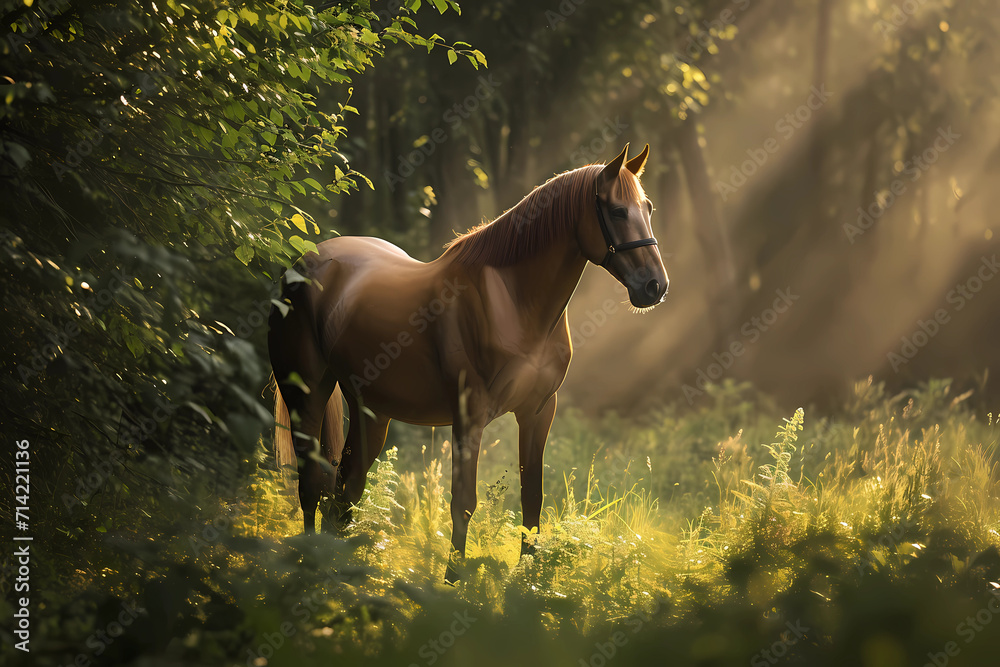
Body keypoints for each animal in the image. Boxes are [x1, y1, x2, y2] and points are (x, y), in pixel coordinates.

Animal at [268, 143, 668, 581]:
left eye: (648, 207)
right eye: (616, 211)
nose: (655, 286)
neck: (513, 302)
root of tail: (307, 262)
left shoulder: (538, 412)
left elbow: (532, 498)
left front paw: (527, 580)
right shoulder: (468, 416)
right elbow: (463, 502)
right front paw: (452, 581)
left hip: (370, 410)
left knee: (346, 489)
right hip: (307, 394)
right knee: (312, 484)